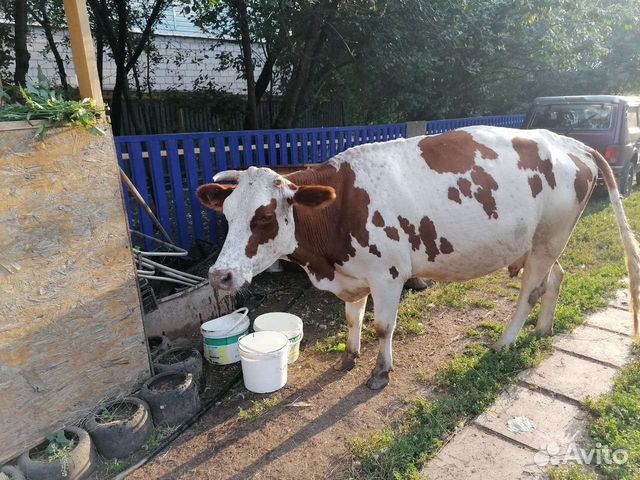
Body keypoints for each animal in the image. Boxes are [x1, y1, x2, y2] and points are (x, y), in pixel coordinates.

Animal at [196, 126, 640, 389]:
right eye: (227, 215)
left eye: (264, 217)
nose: (219, 276)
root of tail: (569, 142)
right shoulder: (352, 274)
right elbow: (352, 318)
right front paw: (349, 357)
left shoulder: (388, 274)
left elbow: (381, 325)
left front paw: (380, 371)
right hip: (543, 241)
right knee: (556, 277)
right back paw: (544, 329)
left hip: (550, 236)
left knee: (531, 290)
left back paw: (505, 342)